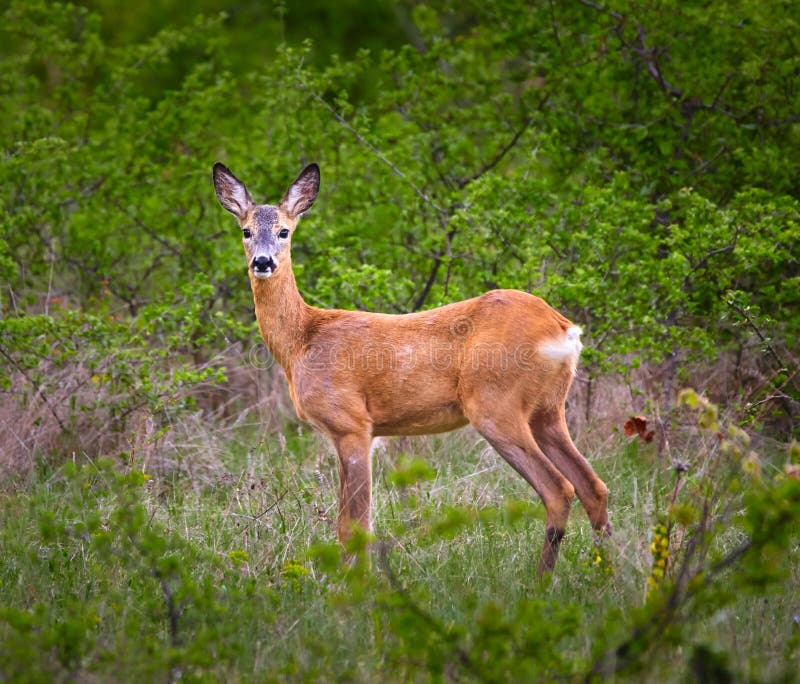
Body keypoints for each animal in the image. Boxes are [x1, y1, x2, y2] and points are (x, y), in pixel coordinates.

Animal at [212, 161, 612, 576]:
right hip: (547, 410)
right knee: (593, 487)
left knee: (559, 490)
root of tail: (564, 328)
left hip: (495, 404)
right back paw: (606, 574)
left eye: (284, 231)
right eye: (245, 230)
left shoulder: (352, 423)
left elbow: (354, 525)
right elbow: (346, 524)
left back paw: (542, 582)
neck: (303, 340)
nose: (263, 262)